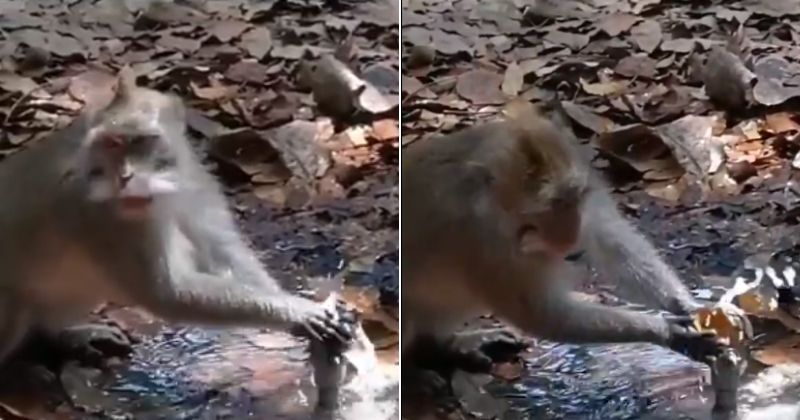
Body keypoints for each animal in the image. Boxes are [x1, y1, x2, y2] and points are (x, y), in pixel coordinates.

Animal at [0, 70, 353, 389]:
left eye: (145, 141)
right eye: (112, 143)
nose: (125, 177)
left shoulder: (194, 180)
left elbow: (223, 252)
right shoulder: (102, 215)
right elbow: (168, 293)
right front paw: (300, 313)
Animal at [400, 105, 721, 398]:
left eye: (574, 199)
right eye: (539, 215)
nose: (570, 242)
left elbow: (611, 239)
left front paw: (686, 306)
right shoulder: (480, 239)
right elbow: (541, 315)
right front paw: (667, 332)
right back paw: (413, 373)